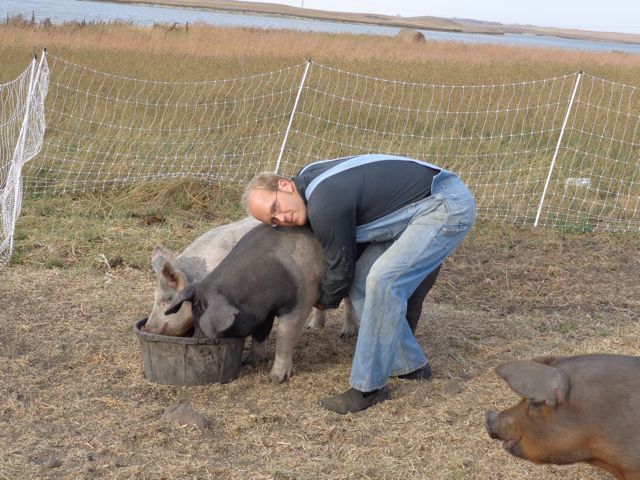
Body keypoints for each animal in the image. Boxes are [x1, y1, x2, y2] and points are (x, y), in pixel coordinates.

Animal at [145, 216, 358, 337]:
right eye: (153, 299)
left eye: (166, 301)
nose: (147, 328)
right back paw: (313, 327)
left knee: (349, 298)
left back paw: (347, 333)